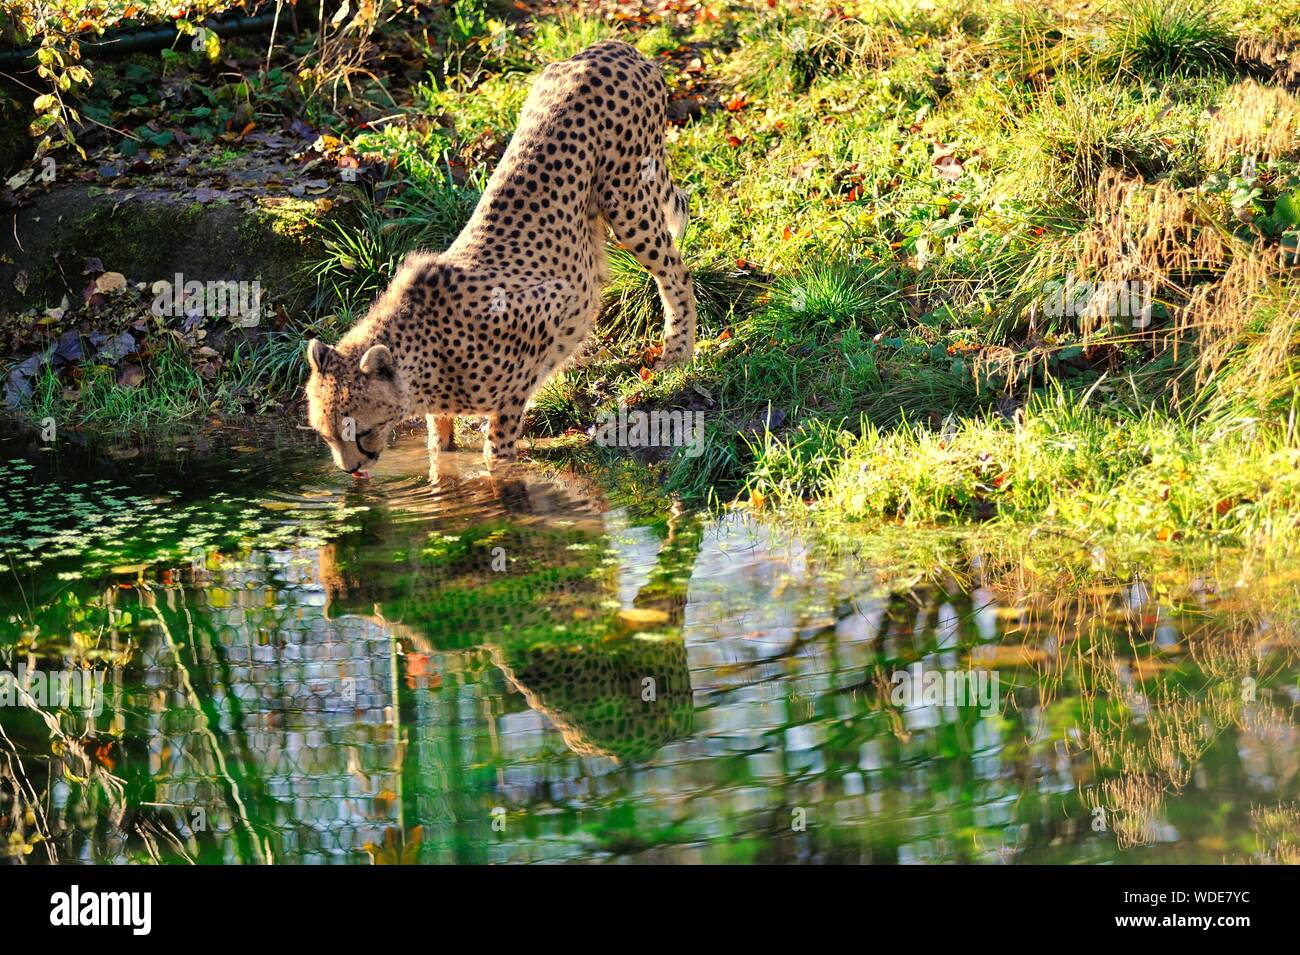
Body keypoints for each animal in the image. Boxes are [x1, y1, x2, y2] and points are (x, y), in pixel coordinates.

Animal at [304, 39, 696, 474]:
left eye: (361, 430)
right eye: (326, 435)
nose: (349, 469)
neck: (423, 353)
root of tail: (614, 46)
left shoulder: (547, 311)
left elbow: (499, 444)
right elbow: (440, 449)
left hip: (628, 201)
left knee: (676, 273)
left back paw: (677, 354)